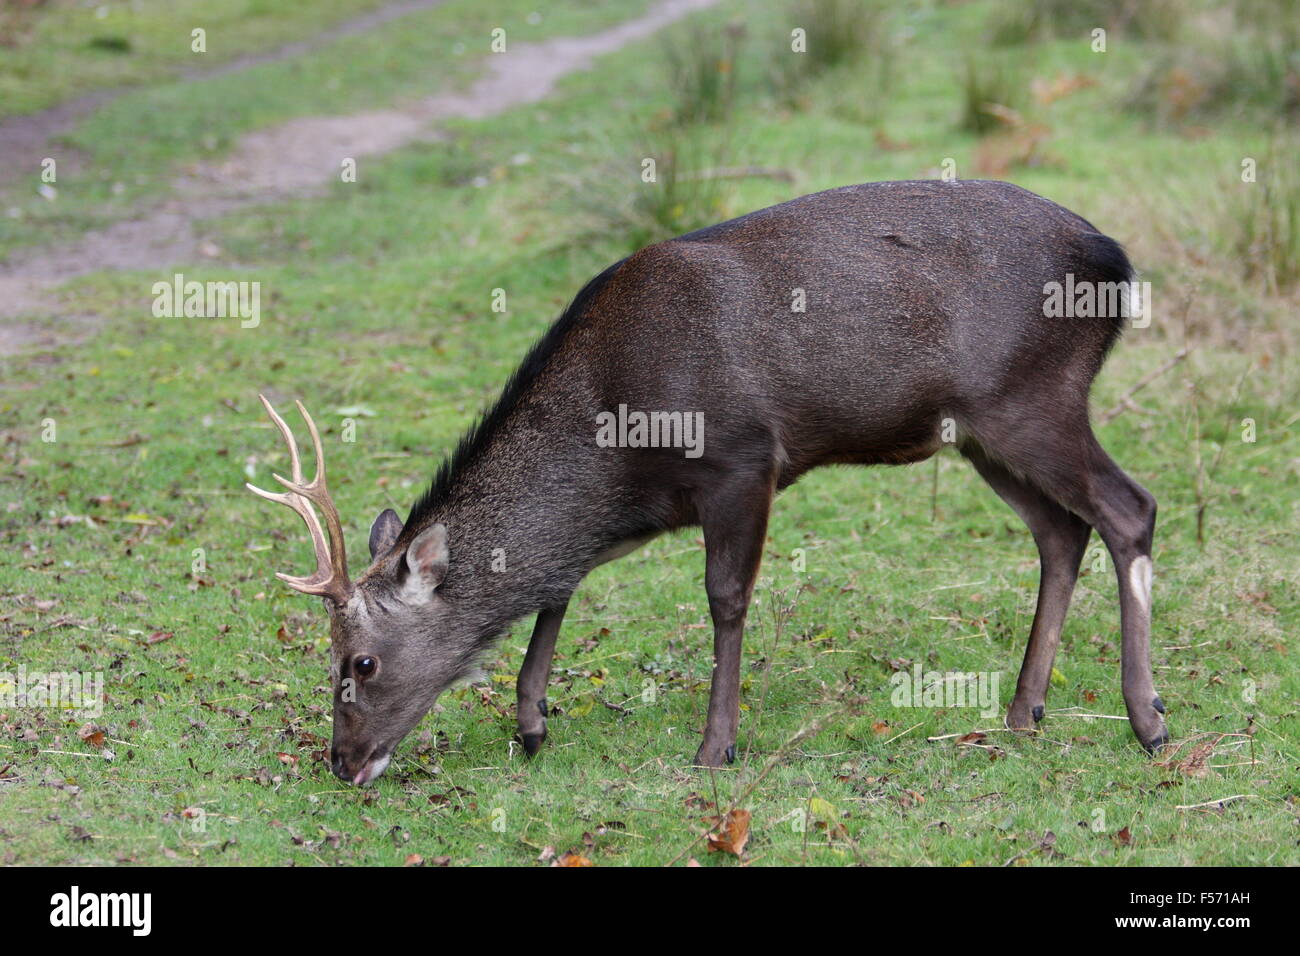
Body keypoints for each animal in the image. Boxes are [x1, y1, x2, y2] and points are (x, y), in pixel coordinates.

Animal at [247, 179, 1167, 786]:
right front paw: (532, 722)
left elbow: (724, 599)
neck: (613, 432)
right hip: (978, 431)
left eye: (360, 663)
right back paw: (1023, 710)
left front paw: (715, 745)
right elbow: (559, 584)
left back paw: (1146, 718)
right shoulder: (636, 509)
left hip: (1029, 398)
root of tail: (1117, 261)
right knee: (1061, 530)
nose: (340, 761)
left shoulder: (742, 457)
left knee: (1130, 508)